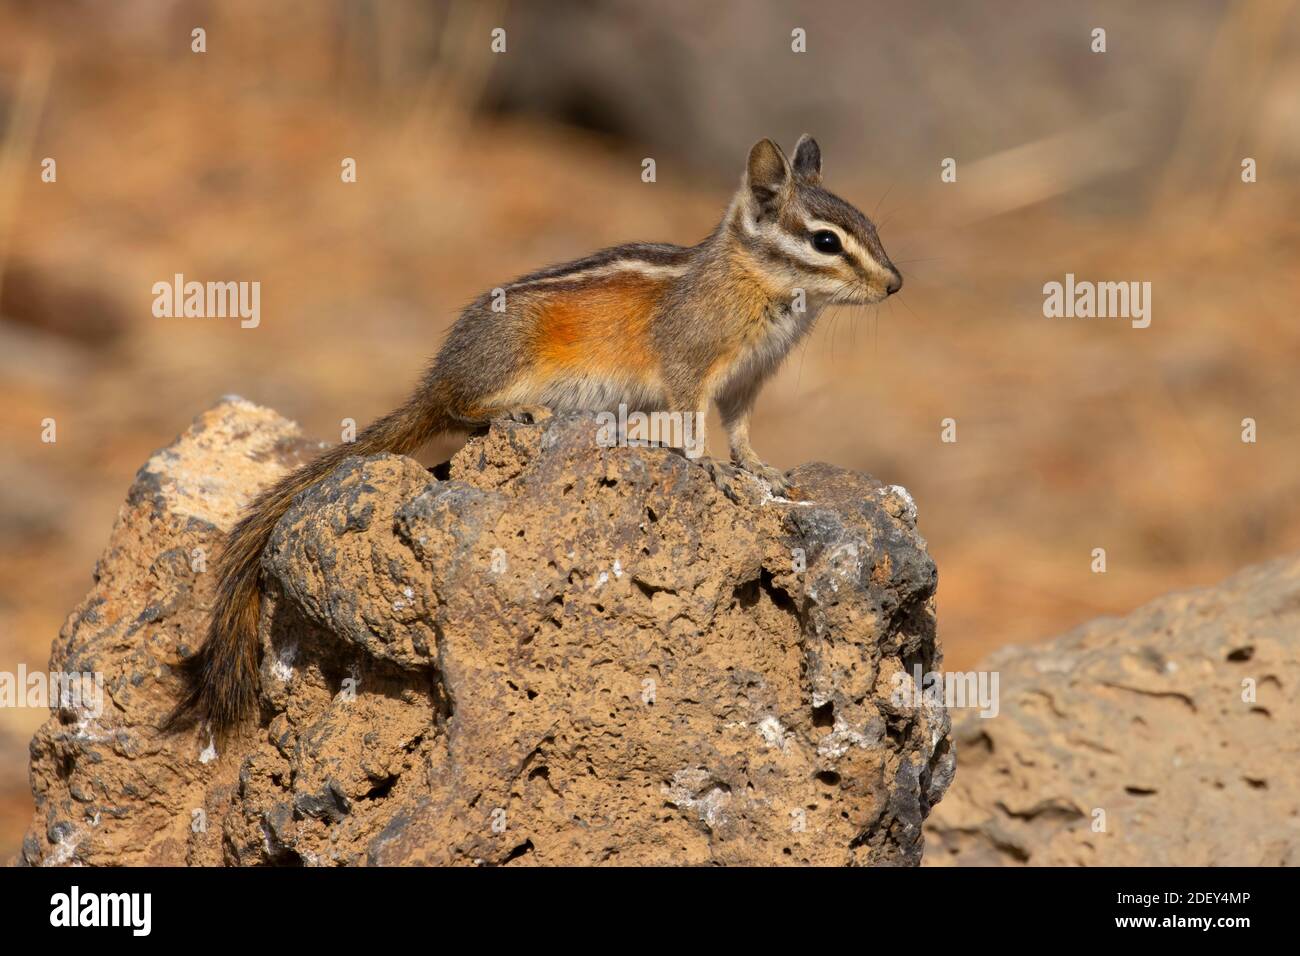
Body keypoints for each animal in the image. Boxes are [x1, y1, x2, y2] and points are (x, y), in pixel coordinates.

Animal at [168, 135, 901, 738]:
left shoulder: (750, 380)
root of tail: (439, 374)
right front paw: (715, 470)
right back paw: (516, 414)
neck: (756, 281)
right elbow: (693, 425)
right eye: (826, 241)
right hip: (508, 361)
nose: (895, 283)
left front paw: (761, 468)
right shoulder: (691, 367)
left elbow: (742, 429)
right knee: (460, 408)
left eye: (868, 224)